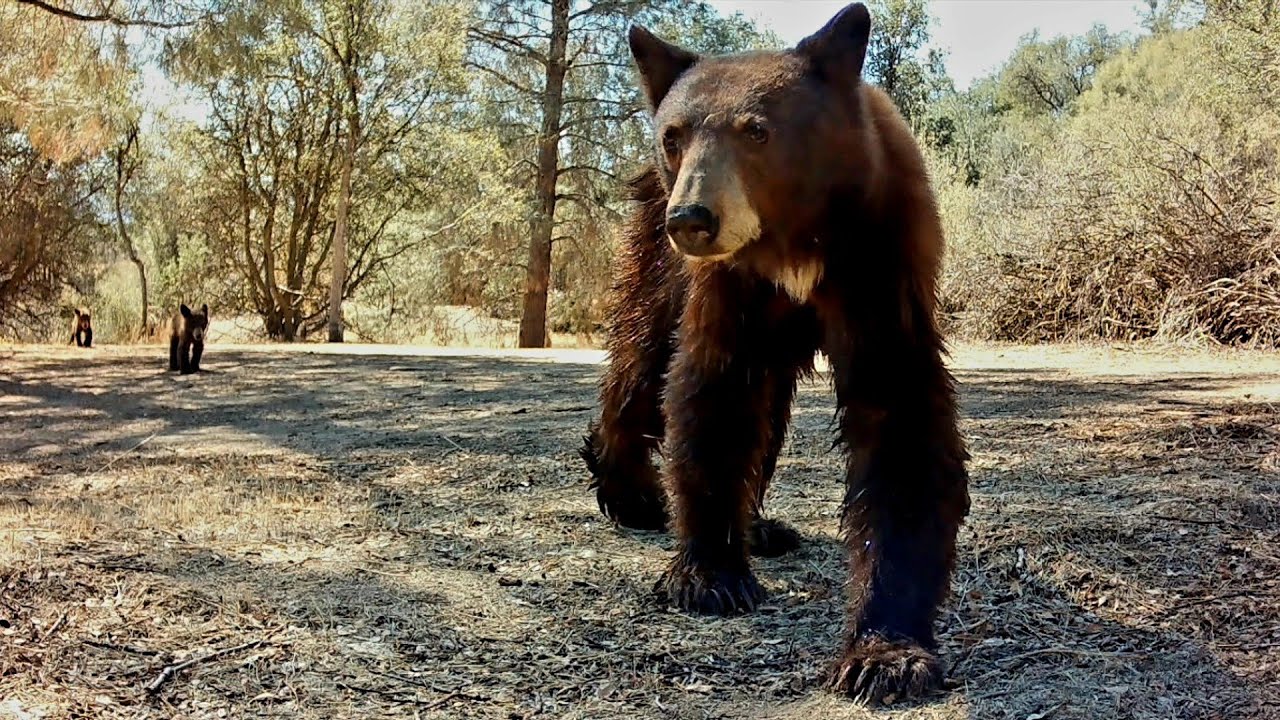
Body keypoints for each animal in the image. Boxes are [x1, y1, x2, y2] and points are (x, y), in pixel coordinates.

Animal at [580, 3, 969, 705]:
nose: (693, 218)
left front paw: (885, 655)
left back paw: (759, 525)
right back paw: (632, 492)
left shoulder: (880, 260)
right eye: (674, 135)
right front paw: (709, 576)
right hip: (652, 245)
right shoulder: (730, 283)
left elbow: (898, 415)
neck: (794, 239)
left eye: (756, 131)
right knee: (642, 354)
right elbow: (712, 389)